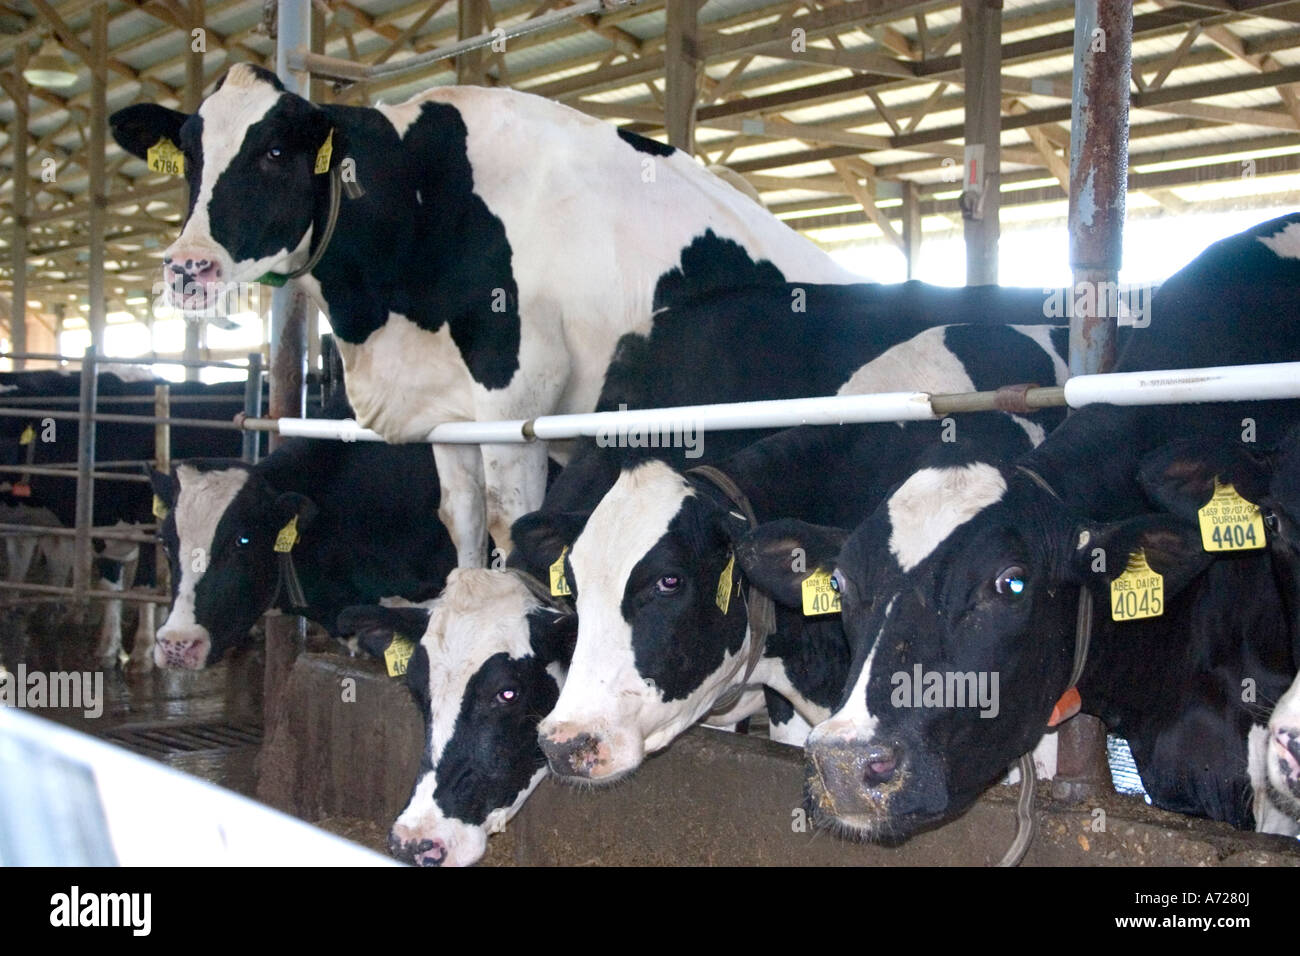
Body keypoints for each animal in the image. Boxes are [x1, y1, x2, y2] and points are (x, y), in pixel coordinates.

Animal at [109, 64, 863, 569]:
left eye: (272, 152)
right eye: (191, 158)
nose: (188, 267)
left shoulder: (515, 399)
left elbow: (513, 521)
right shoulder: (446, 409)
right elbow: (463, 521)